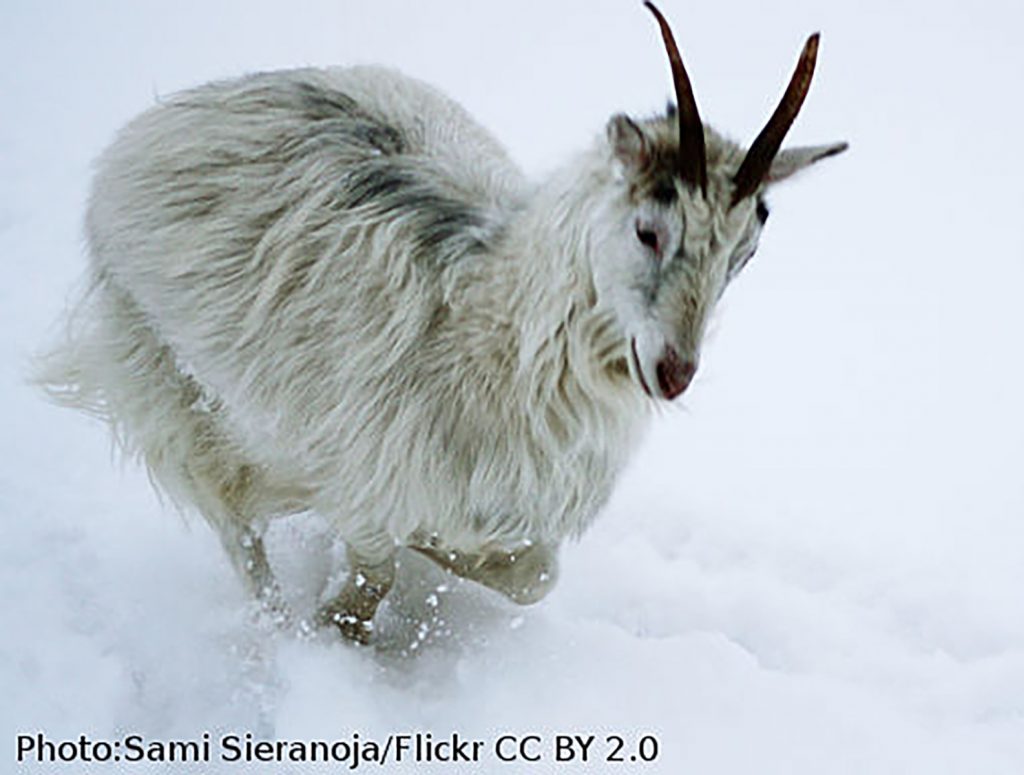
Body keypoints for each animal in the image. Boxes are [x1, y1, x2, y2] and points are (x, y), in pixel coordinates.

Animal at [38, 3, 846, 643]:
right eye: (649, 230)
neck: (483, 323)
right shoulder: (367, 470)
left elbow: (533, 575)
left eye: (745, 253)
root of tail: (177, 109)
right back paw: (272, 626)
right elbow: (368, 581)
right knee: (237, 530)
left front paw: (455, 556)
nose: (674, 371)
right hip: (162, 376)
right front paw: (344, 626)